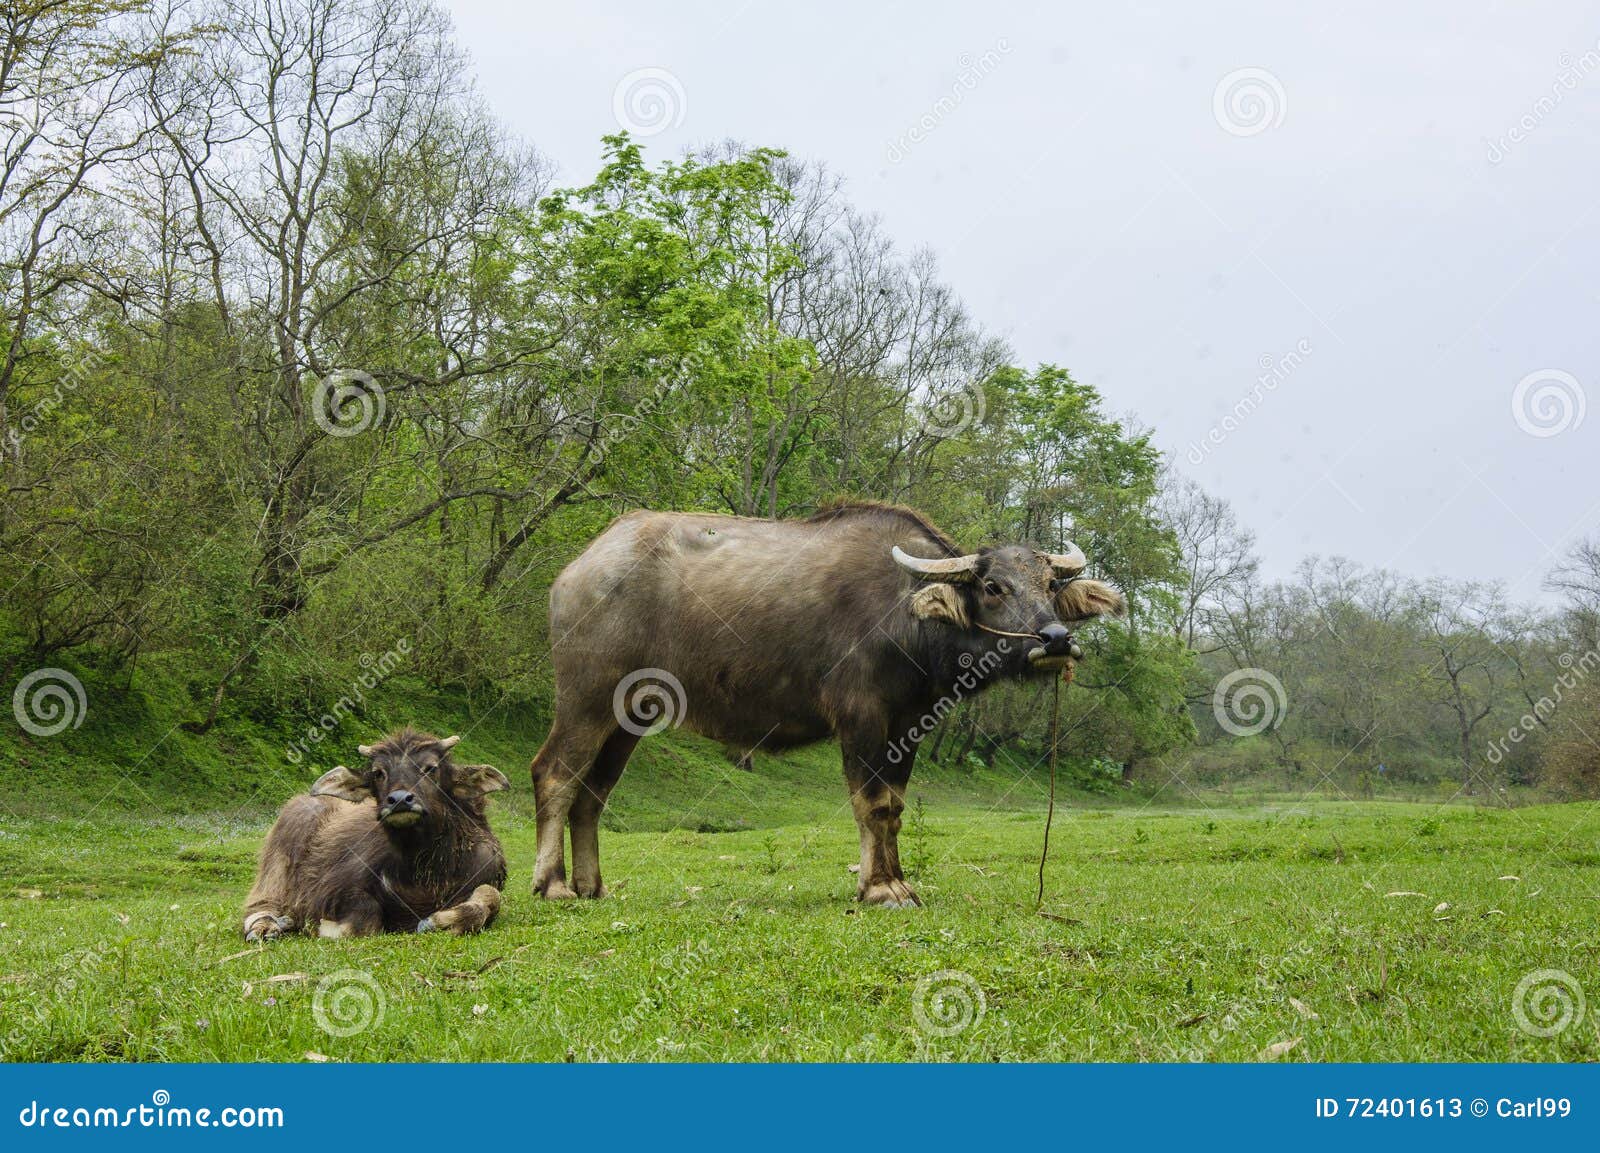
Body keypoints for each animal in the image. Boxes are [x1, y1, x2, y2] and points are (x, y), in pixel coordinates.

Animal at [242, 727, 510, 939]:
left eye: (430, 768)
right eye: (379, 772)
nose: (399, 800)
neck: (422, 875)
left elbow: (491, 897)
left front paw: (445, 921)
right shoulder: (331, 890)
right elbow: (366, 917)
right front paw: (320, 927)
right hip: (280, 853)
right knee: (261, 903)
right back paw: (266, 927)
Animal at [530, 500, 1125, 908]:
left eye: (1050, 584)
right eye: (994, 586)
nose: (1054, 639)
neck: (906, 617)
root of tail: (575, 572)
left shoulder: (909, 725)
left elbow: (895, 807)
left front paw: (896, 879)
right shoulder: (861, 719)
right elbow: (871, 803)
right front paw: (880, 888)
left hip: (630, 716)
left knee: (593, 793)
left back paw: (591, 885)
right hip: (587, 698)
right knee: (555, 773)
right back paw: (552, 884)